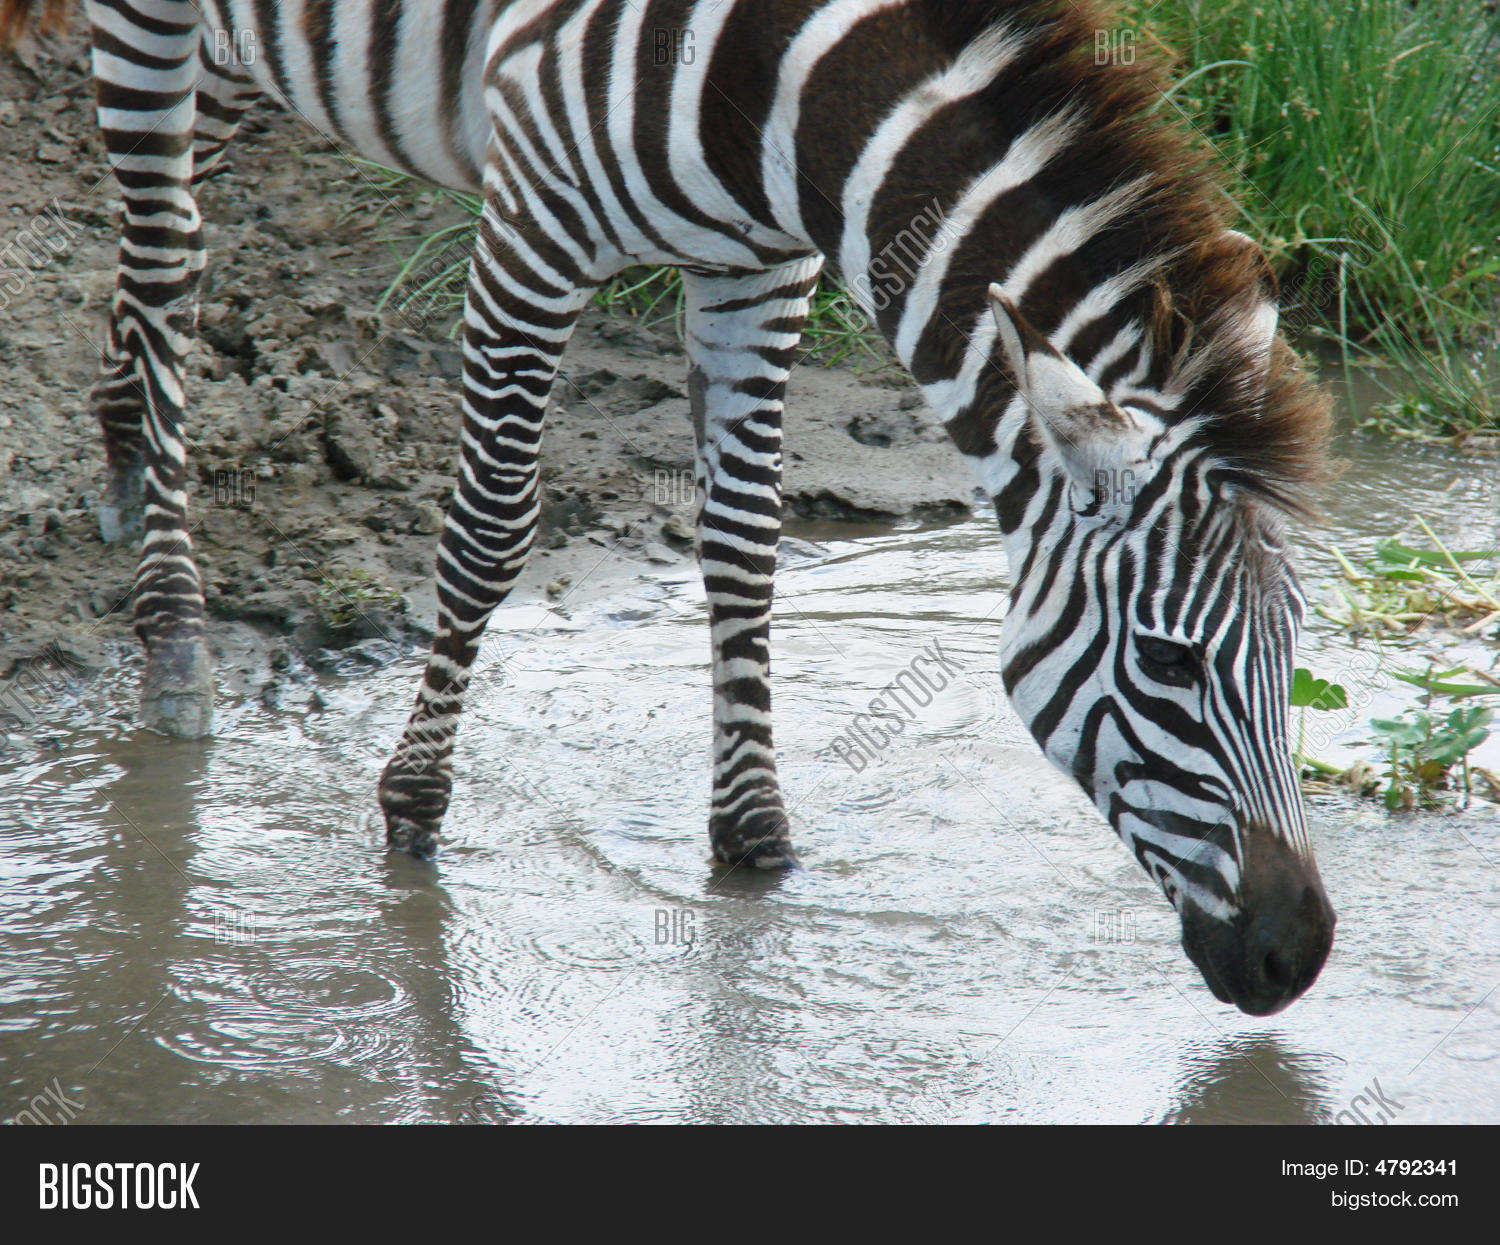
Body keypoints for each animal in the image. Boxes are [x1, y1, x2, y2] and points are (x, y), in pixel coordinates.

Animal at [3, 0, 1337, 1015]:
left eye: (1295, 650)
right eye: (1167, 663)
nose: (1300, 954)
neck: (780, 86)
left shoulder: (762, 266)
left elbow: (747, 544)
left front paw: (755, 847)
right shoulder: (533, 222)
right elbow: (491, 527)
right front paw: (413, 817)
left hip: (245, 48)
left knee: (171, 238)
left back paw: (125, 453)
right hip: (154, 24)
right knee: (169, 258)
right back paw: (174, 633)